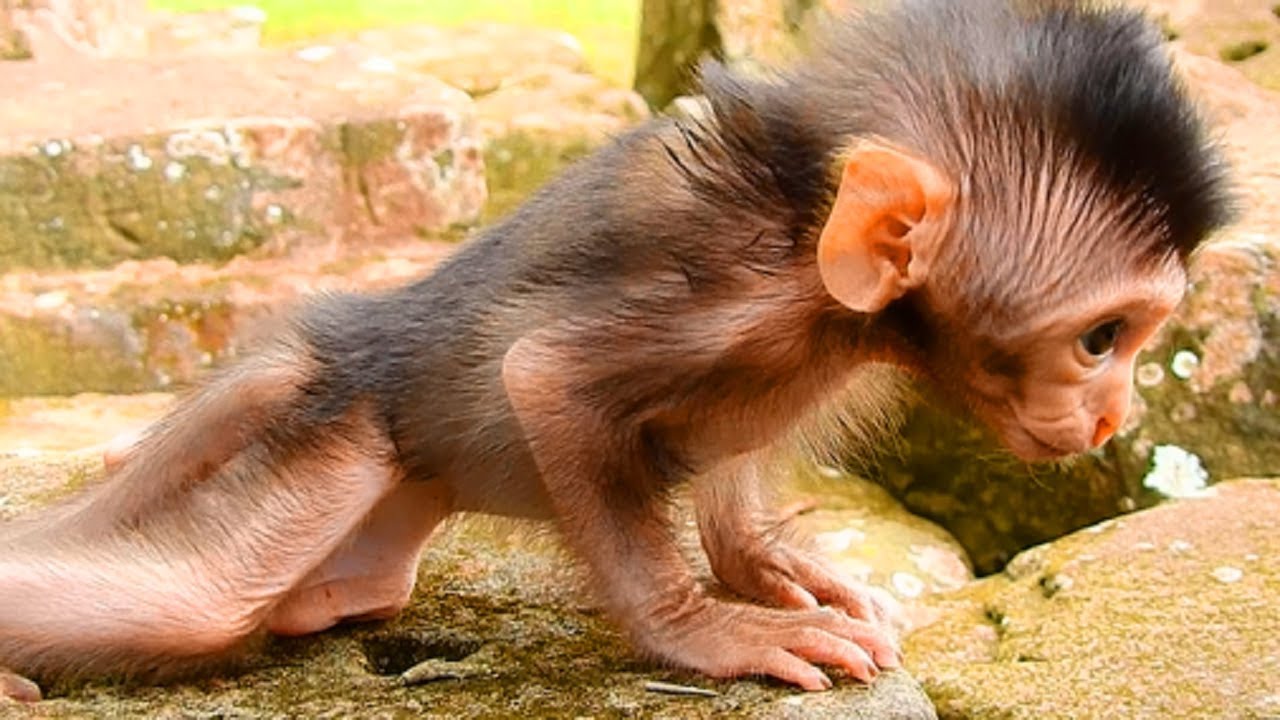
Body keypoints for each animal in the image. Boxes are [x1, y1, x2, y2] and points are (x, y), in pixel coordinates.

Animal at [0, 0, 1230, 701]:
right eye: (1100, 339)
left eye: (1137, 342)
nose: (1115, 415)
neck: (809, 231)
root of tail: (358, 346)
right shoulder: (737, 306)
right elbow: (541, 378)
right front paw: (707, 632)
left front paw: (772, 572)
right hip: (338, 435)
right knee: (196, 605)